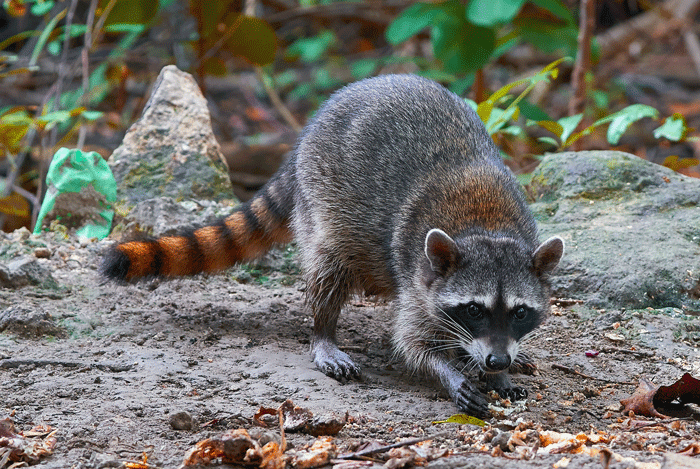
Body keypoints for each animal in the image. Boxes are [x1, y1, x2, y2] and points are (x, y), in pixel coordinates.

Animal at [101, 74, 563, 416]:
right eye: (474, 309)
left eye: (520, 312)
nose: (497, 361)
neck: (487, 228)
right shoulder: (418, 275)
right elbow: (410, 343)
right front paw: (451, 372)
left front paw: (499, 372)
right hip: (324, 197)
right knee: (330, 266)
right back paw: (323, 331)